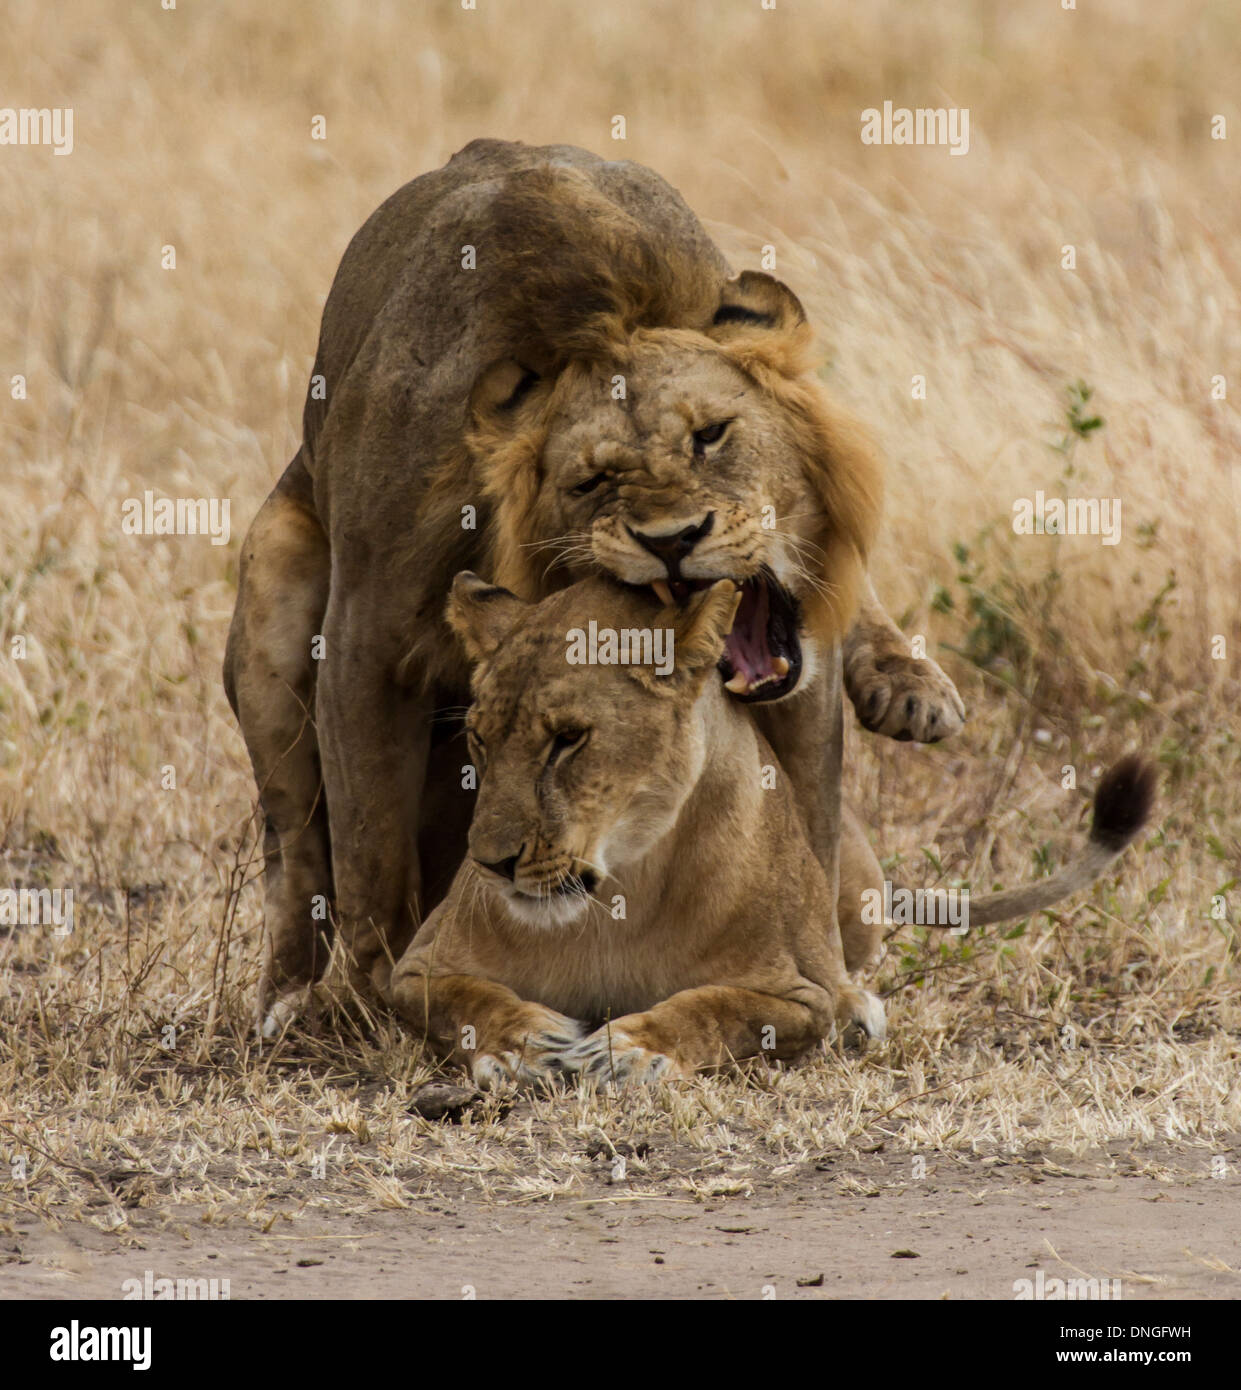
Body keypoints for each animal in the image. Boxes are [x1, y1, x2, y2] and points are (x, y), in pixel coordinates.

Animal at [223, 138, 964, 1037]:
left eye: (711, 435)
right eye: (590, 482)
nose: (672, 540)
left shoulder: (797, 665)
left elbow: (809, 822)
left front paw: (833, 990)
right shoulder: (366, 644)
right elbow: (369, 852)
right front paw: (369, 1003)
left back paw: (907, 679)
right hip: (273, 598)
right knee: (295, 850)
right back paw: (290, 998)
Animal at [388, 573, 1154, 1085]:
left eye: (568, 740)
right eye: (480, 739)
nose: (490, 862)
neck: (614, 892)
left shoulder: (797, 994)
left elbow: (715, 1008)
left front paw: (631, 1049)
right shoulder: (416, 966)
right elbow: (459, 1000)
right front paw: (522, 1042)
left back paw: (861, 1010)